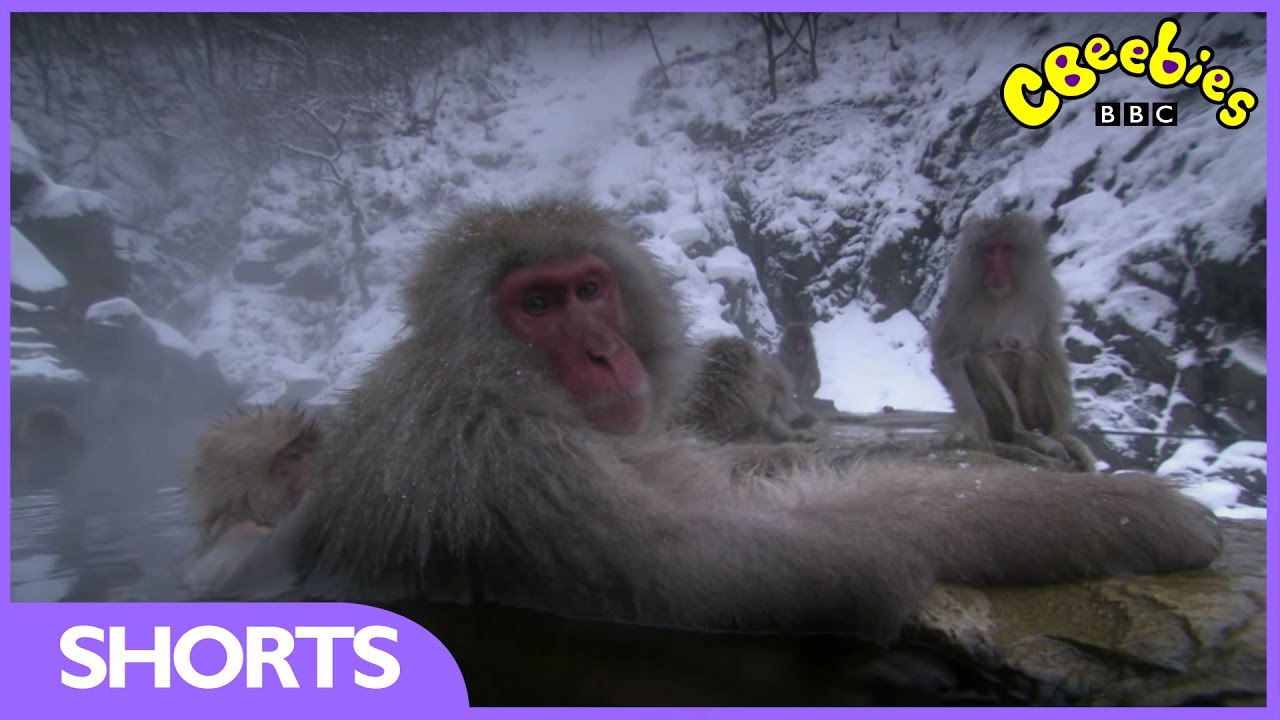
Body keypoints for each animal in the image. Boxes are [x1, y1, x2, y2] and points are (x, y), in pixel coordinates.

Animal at [929, 213, 1097, 472]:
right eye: (989, 251)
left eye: (1006, 249)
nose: (996, 269)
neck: (1003, 296)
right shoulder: (961, 302)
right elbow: (949, 353)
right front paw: (972, 431)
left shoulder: (1043, 296)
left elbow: (1048, 345)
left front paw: (1061, 434)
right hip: (996, 419)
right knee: (978, 359)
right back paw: (1019, 436)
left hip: (1031, 416)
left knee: (1034, 356)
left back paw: (1040, 438)